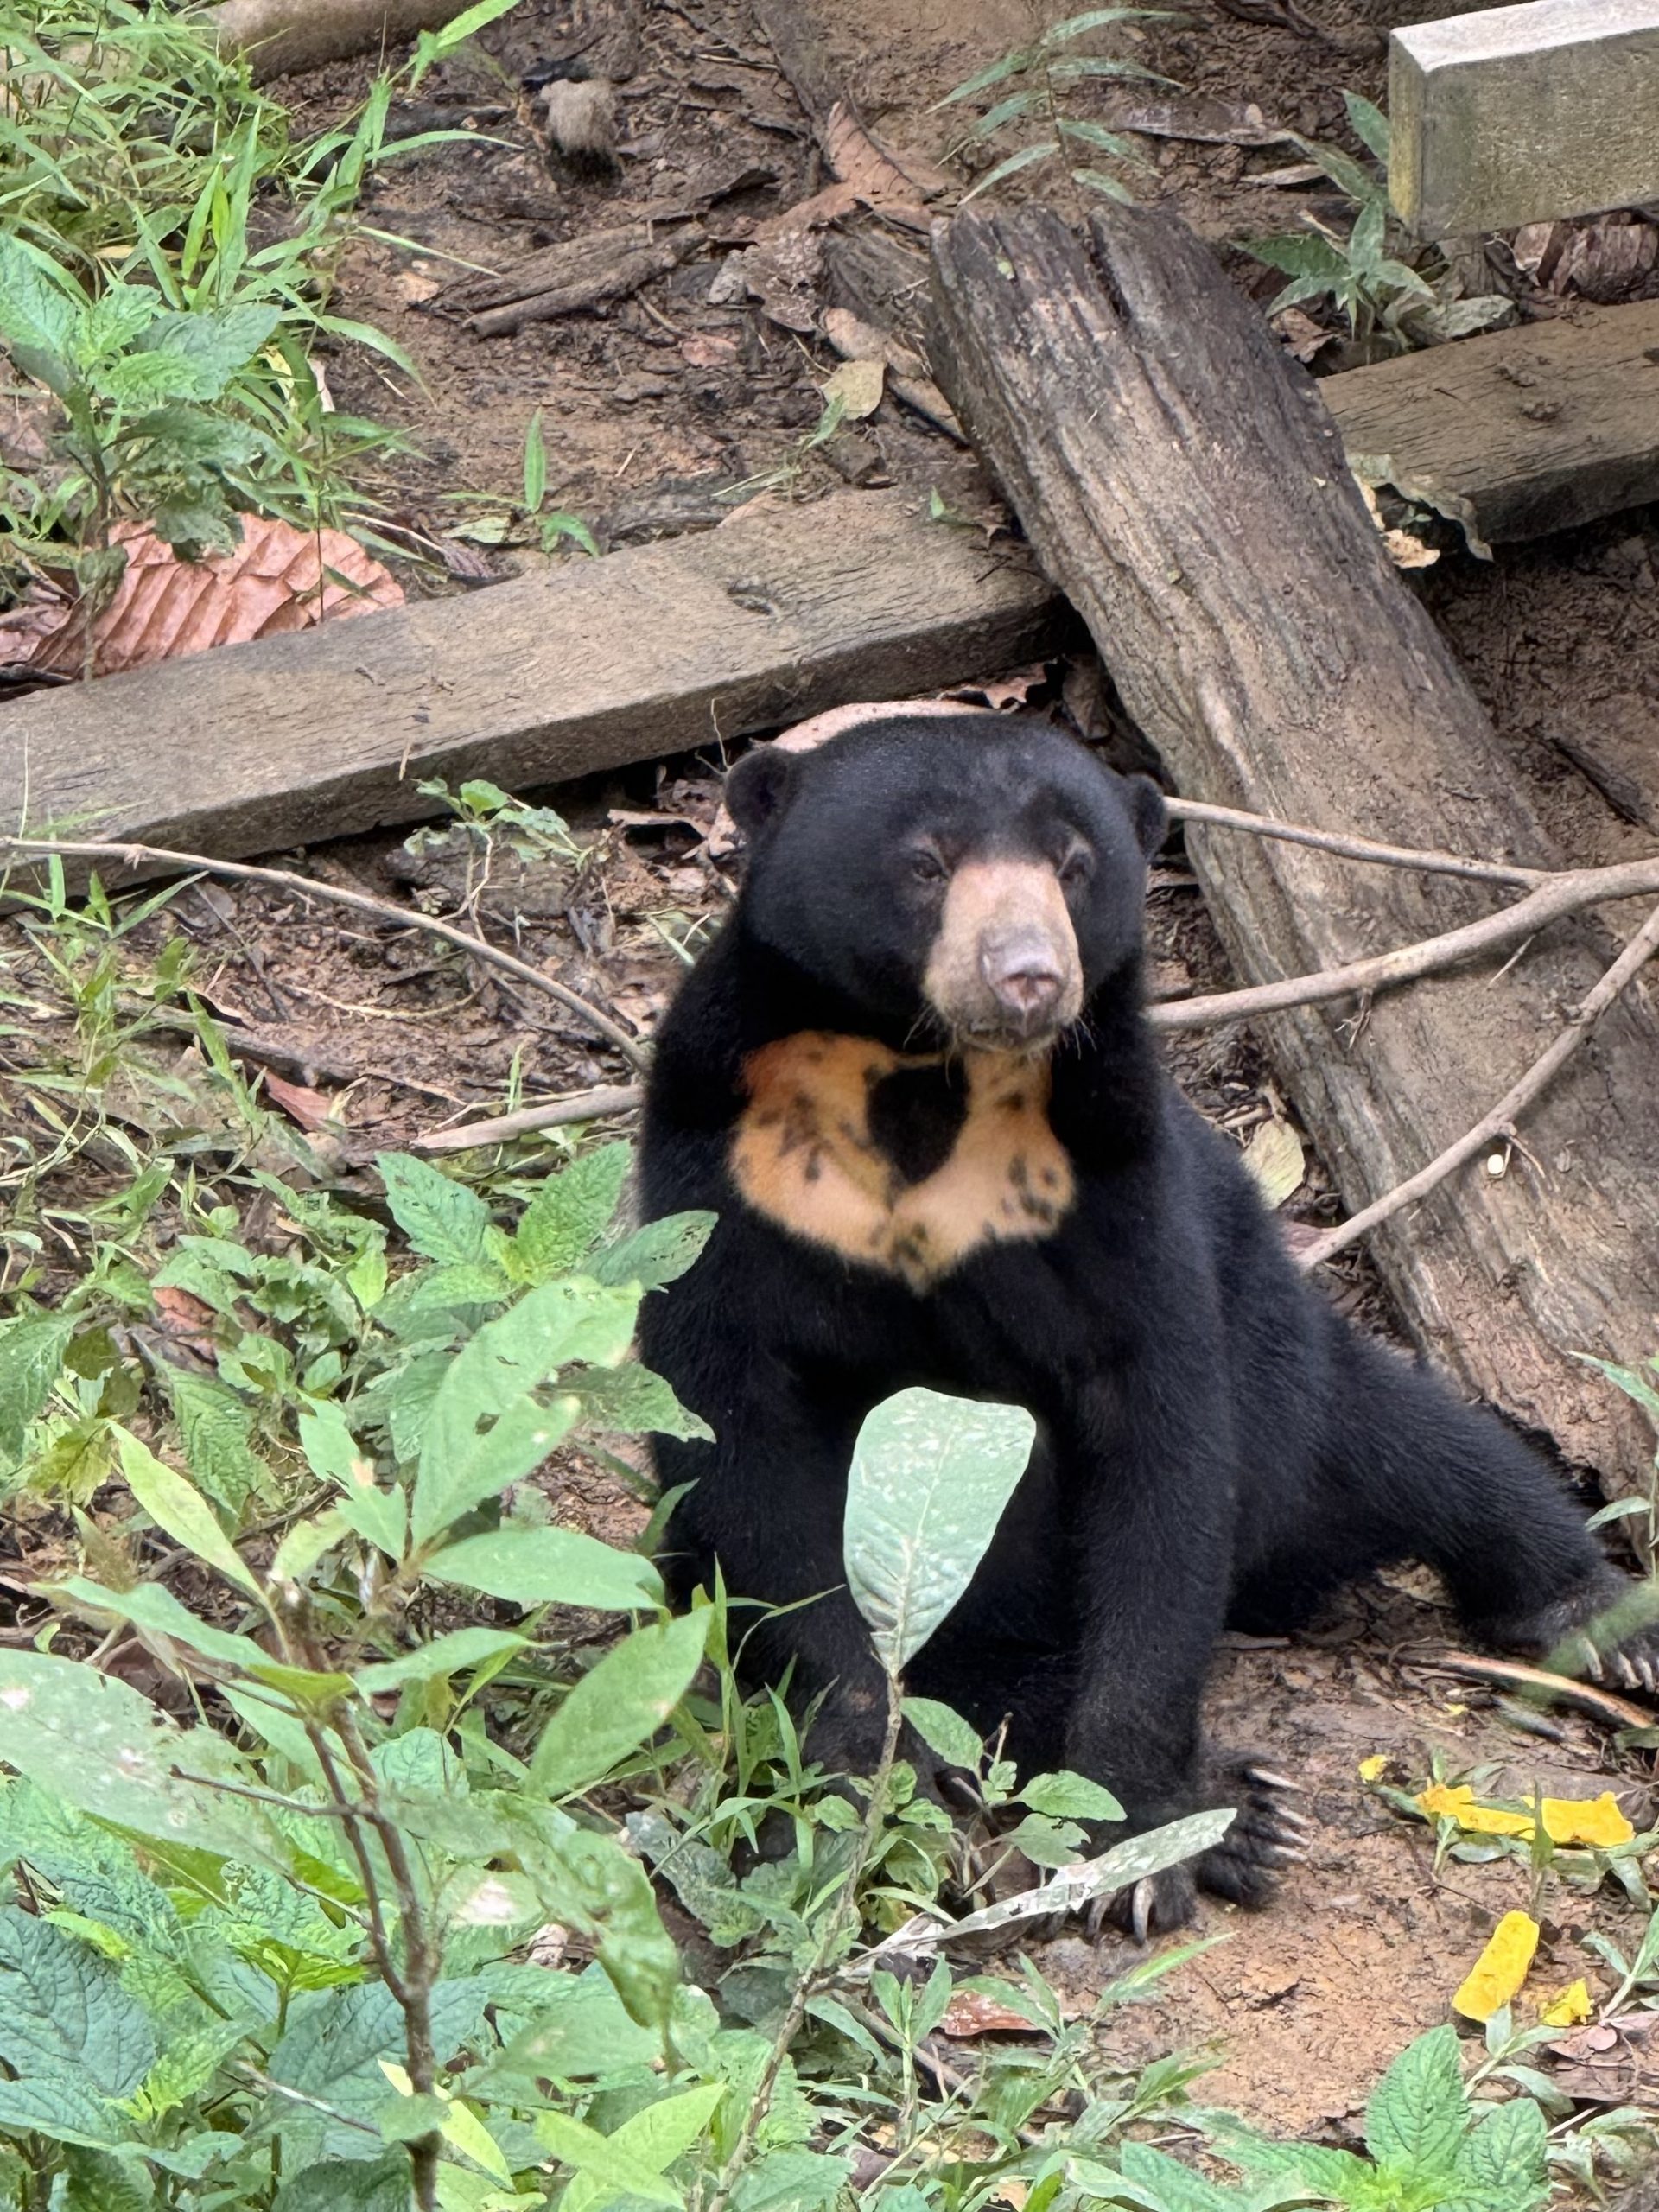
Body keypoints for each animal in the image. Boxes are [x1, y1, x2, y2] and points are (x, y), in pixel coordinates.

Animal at [638, 711, 1656, 1933]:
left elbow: (1159, 1446)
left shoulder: (1119, 1176)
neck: (937, 1081)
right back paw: (1235, 1802)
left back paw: (1600, 1627)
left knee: (1436, 1452)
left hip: (1296, 1386)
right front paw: (856, 1769)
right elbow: (742, 1436)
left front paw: (1139, 1839)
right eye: (926, 862)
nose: (1029, 976)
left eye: (1075, 865)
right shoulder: (722, 1161)